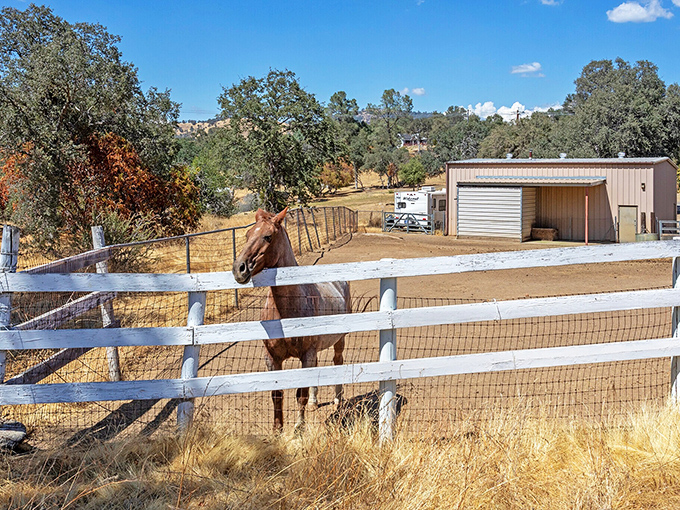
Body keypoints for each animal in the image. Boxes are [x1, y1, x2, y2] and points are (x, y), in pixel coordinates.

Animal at [232, 207, 351, 432]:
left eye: (268, 237)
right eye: (247, 234)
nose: (239, 269)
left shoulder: (306, 354)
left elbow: (300, 395)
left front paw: (299, 428)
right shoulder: (272, 358)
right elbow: (277, 394)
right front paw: (277, 429)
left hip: (339, 340)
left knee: (337, 362)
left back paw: (337, 401)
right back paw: (315, 402)